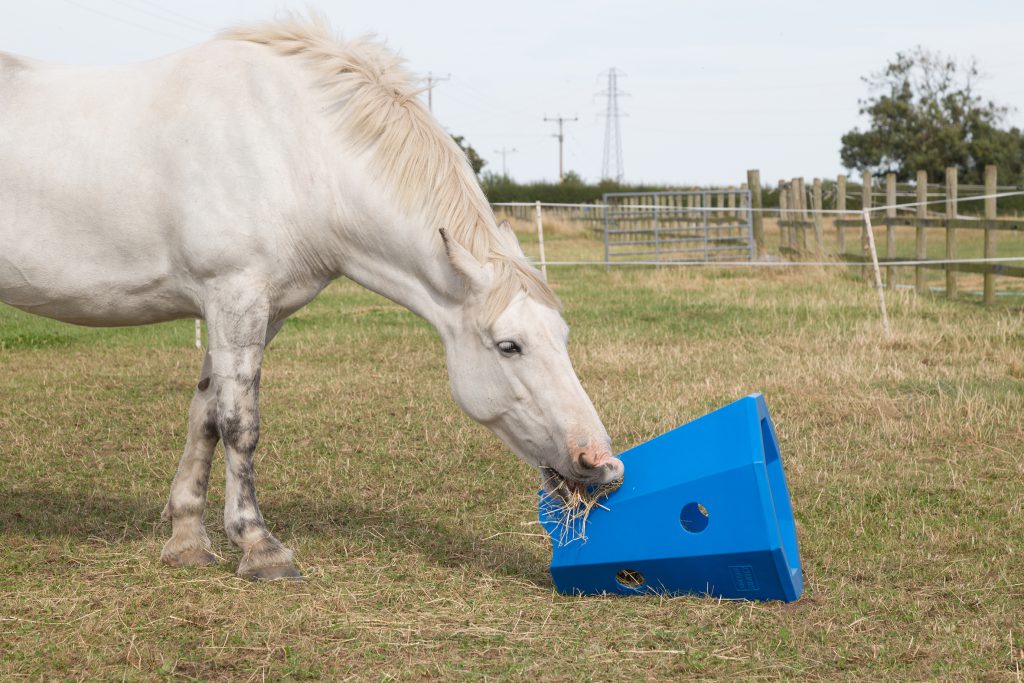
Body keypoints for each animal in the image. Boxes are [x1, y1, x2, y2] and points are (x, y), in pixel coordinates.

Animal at [0, 17, 624, 580]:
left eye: (562, 336)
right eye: (508, 345)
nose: (600, 462)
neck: (295, 148)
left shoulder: (252, 312)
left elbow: (206, 417)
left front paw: (187, 543)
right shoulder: (235, 296)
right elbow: (240, 424)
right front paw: (259, 547)